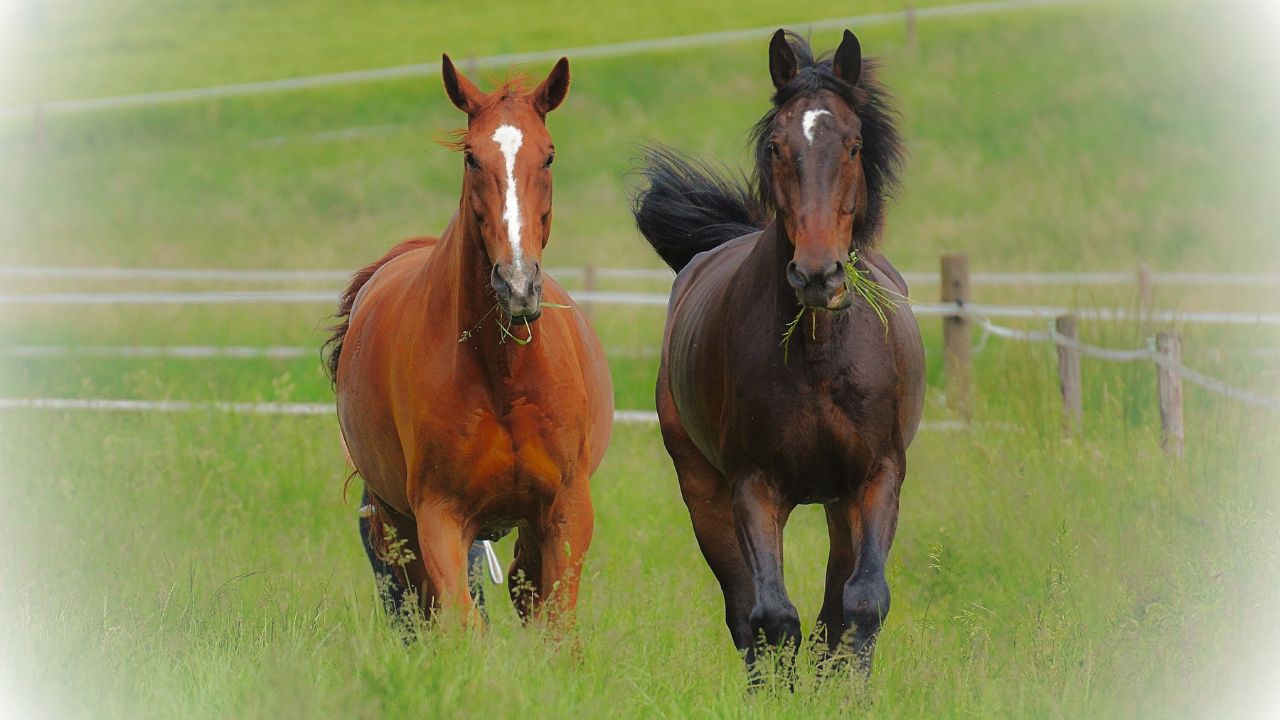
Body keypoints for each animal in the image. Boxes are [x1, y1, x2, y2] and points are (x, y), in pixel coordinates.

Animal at [325, 54, 613, 629]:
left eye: (549, 156)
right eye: (472, 158)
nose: (517, 284)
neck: (503, 376)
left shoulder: (566, 511)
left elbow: (555, 626)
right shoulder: (439, 517)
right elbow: (462, 622)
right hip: (400, 524)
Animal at [631, 30, 924, 679]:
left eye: (854, 144)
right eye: (775, 146)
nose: (817, 274)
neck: (818, 356)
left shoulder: (878, 475)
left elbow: (861, 603)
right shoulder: (753, 485)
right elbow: (771, 617)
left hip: (840, 502)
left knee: (835, 606)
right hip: (704, 491)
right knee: (745, 612)